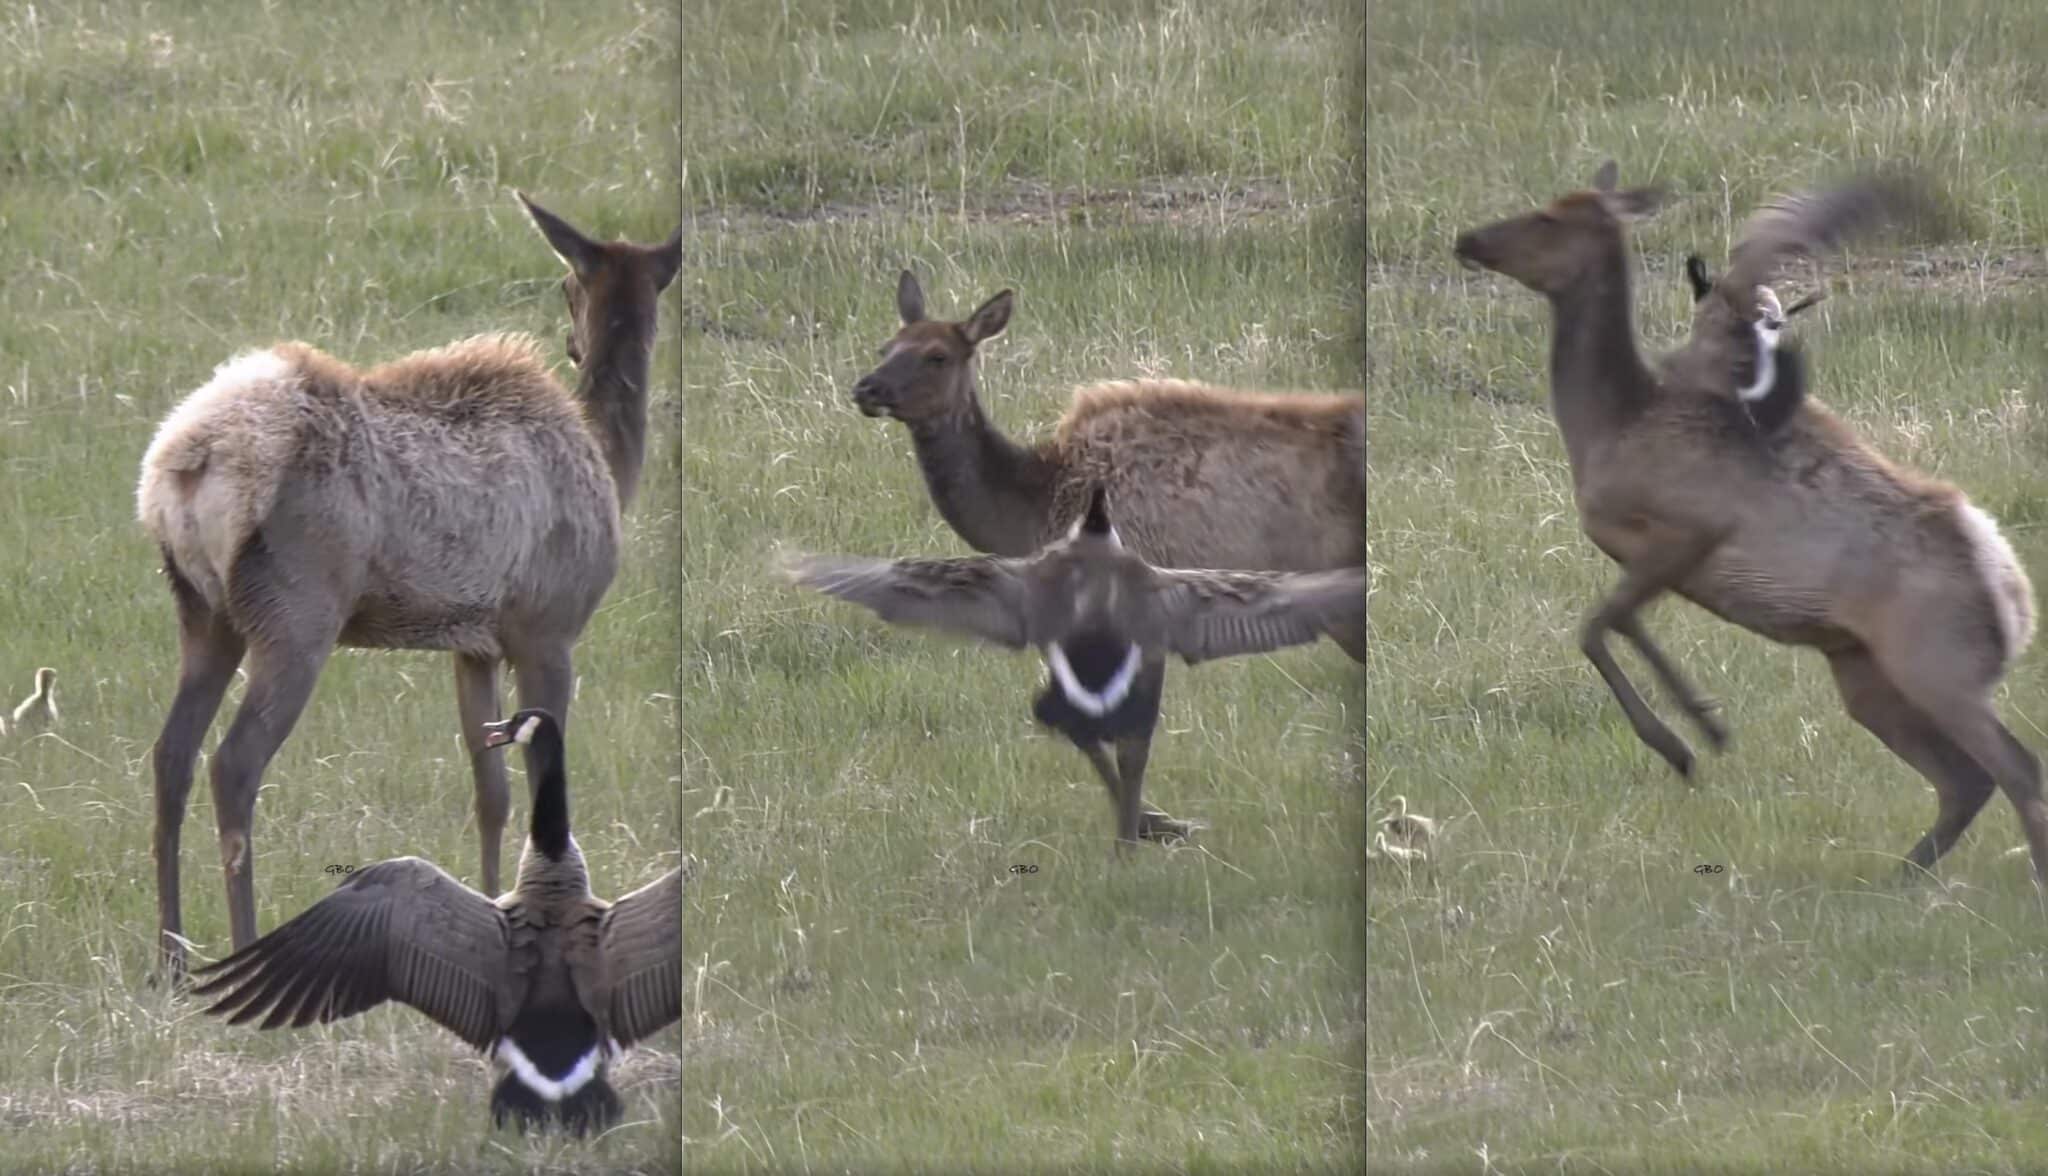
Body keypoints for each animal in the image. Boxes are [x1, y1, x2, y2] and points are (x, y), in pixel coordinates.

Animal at [137, 192, 681, 979]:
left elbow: (491, 793)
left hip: (203, 612)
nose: (573, 342)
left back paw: (172, 956)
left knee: (170, 753)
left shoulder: (474, 645)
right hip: (297, 612)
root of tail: (183, 466)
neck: (609, 464)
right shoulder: (547, 630)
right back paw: (241, 945)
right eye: (566, 283)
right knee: (233, 764)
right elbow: (540, 783)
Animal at [847, 270, 1365, 842]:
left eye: (937, 355)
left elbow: (1127, 737)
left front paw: (1145, 827)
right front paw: (1152, 823)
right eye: (886, 345)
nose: (866, 387)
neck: (1035, 509)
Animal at [1451, 160, 2048, 889]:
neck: (1604, 427)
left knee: (2016, 766)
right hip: (1865, 672)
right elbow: (1618, 623)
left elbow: (1596, 625)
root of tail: (2013, 598)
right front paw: (1703, 727)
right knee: (1964, 779)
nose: (1469, 238)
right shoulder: (1647, 558)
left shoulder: (1691, 529)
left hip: (1939, 663)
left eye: (1550, 216)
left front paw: (1684, 741)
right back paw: (1900, 878)